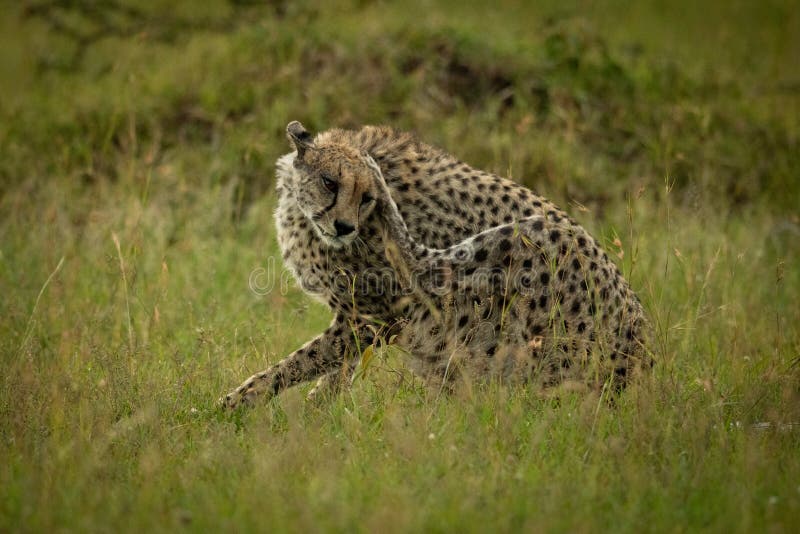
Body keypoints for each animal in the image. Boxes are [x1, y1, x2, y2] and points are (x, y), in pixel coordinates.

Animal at [222, 121, 651, 408]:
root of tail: (640, 369)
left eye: (365, 199)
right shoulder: (359, 318)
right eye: (330, 183)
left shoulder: (377, 315)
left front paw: (238, 404)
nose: (344, 226)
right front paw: (317, 410)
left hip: (515, 252)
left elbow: (307, 360)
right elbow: (333, 365)